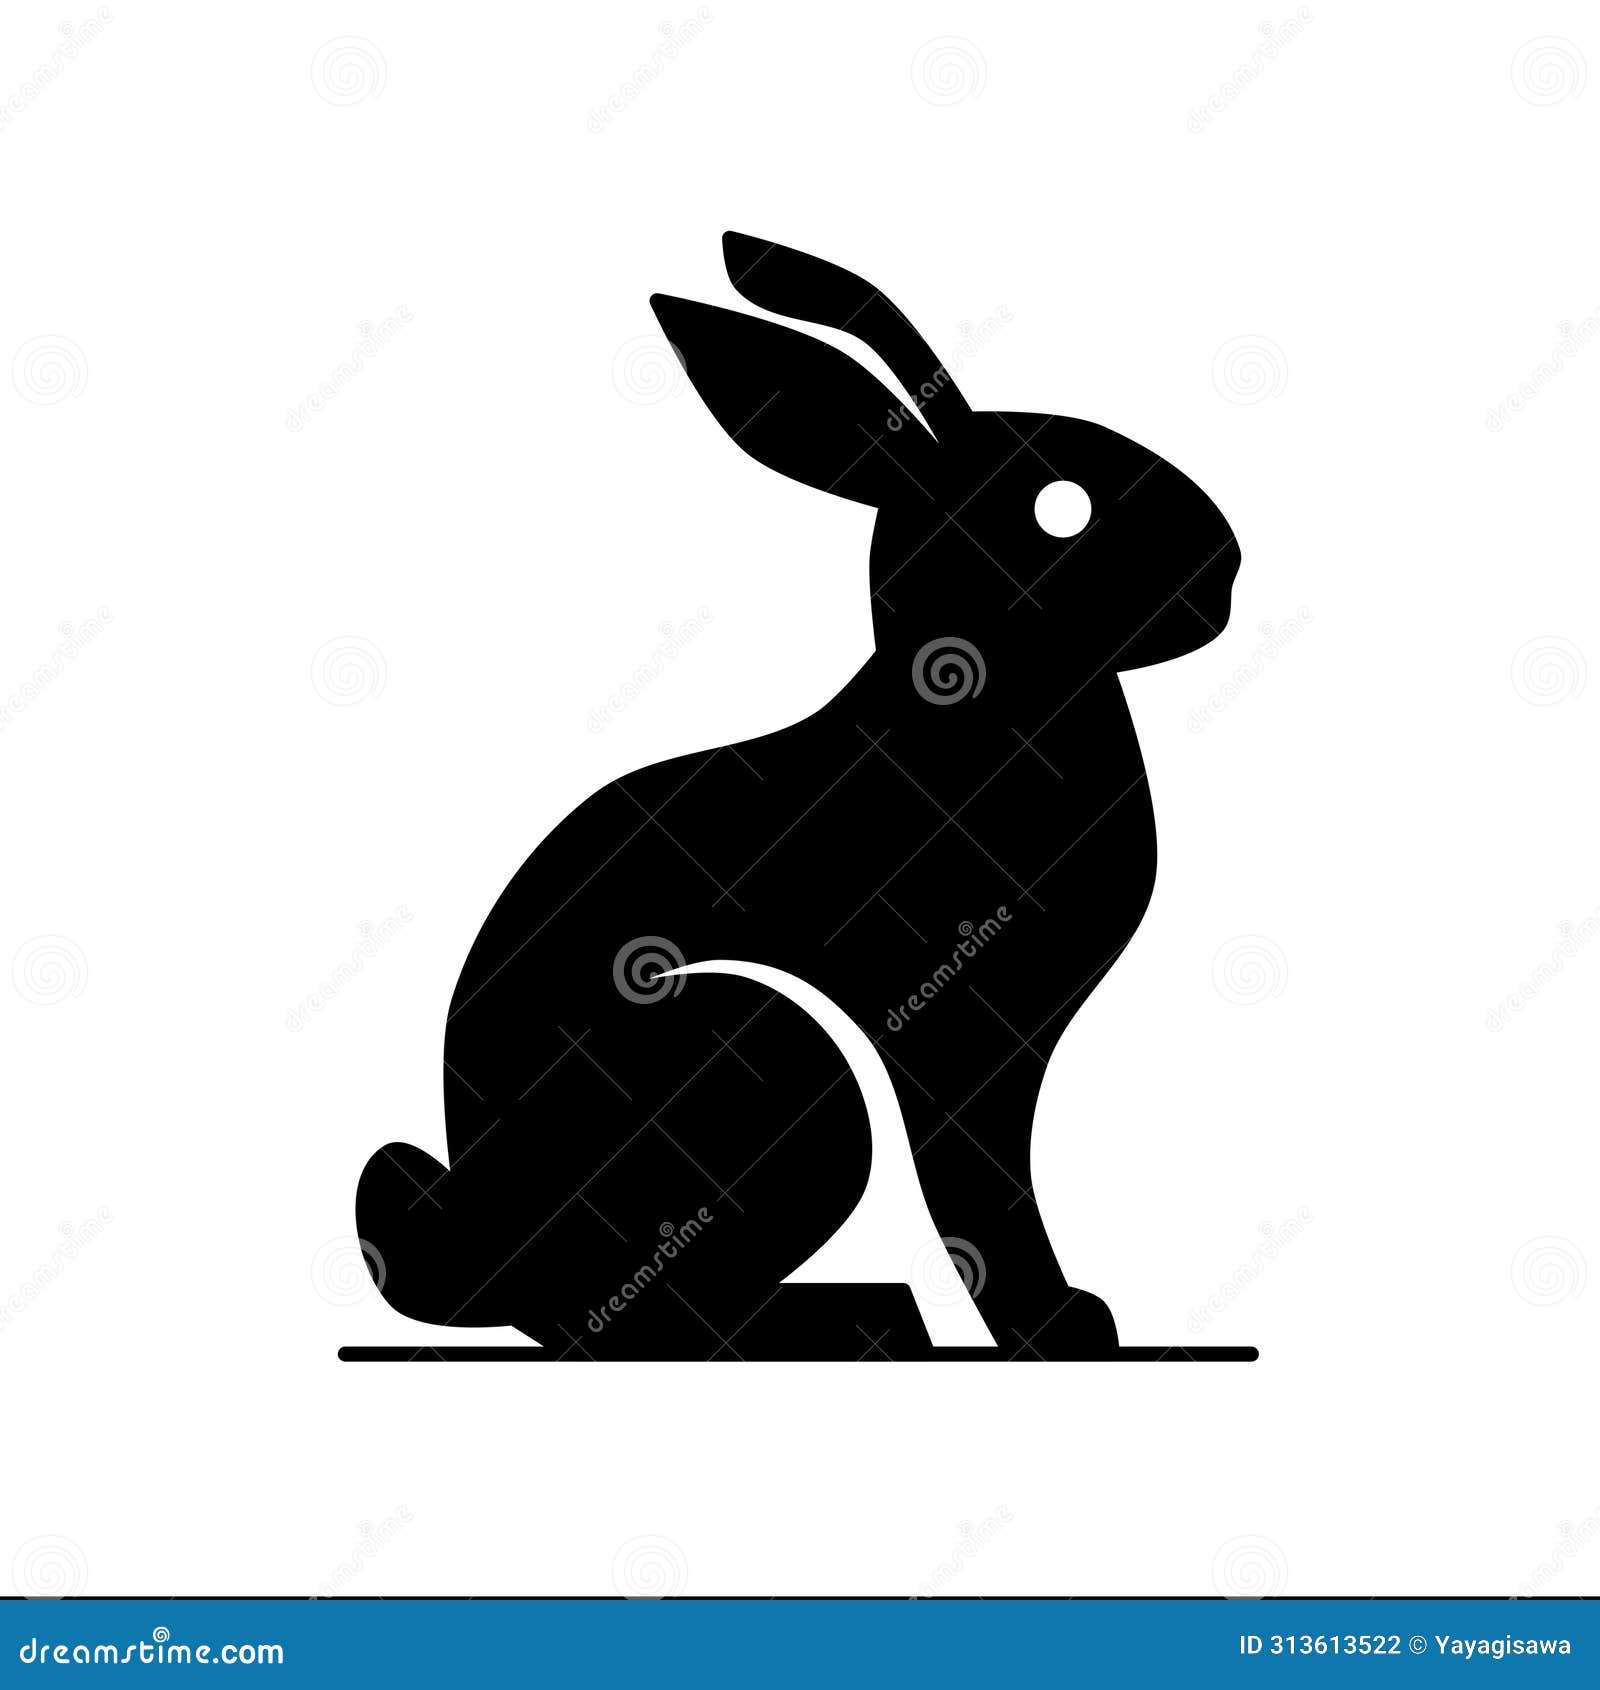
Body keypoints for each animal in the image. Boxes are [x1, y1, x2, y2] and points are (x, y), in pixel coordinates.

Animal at [354, 233, 1241, 1360]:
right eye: (1062, 509)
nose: (1228, 567)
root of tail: (490, 1263)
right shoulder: (952, 1036)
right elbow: (979, 1189)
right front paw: (1060, 1326)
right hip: (786, 1069)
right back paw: (863, 1314)